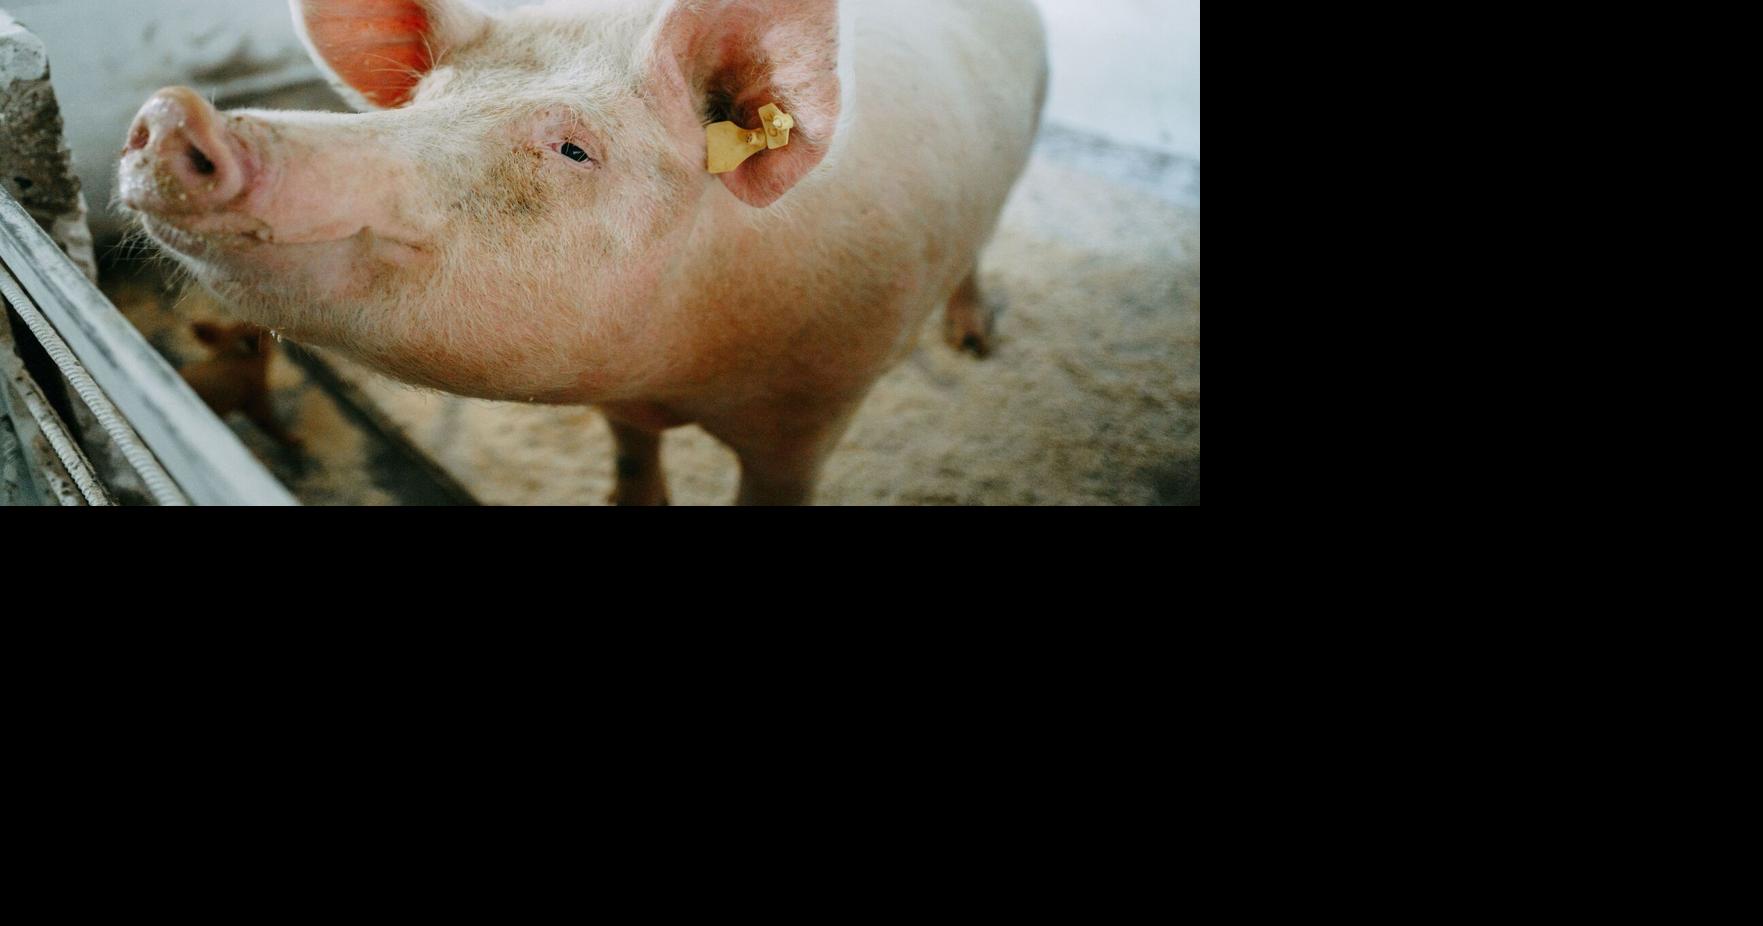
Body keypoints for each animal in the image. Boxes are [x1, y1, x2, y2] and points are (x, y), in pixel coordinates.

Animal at [120, 0, 1047, 504]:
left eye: (573, 149)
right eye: (423, 99)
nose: (173, 114)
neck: (682, 366)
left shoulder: (820, 400)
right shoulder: (619, 397)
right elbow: (630, 454)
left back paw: (973, 342)